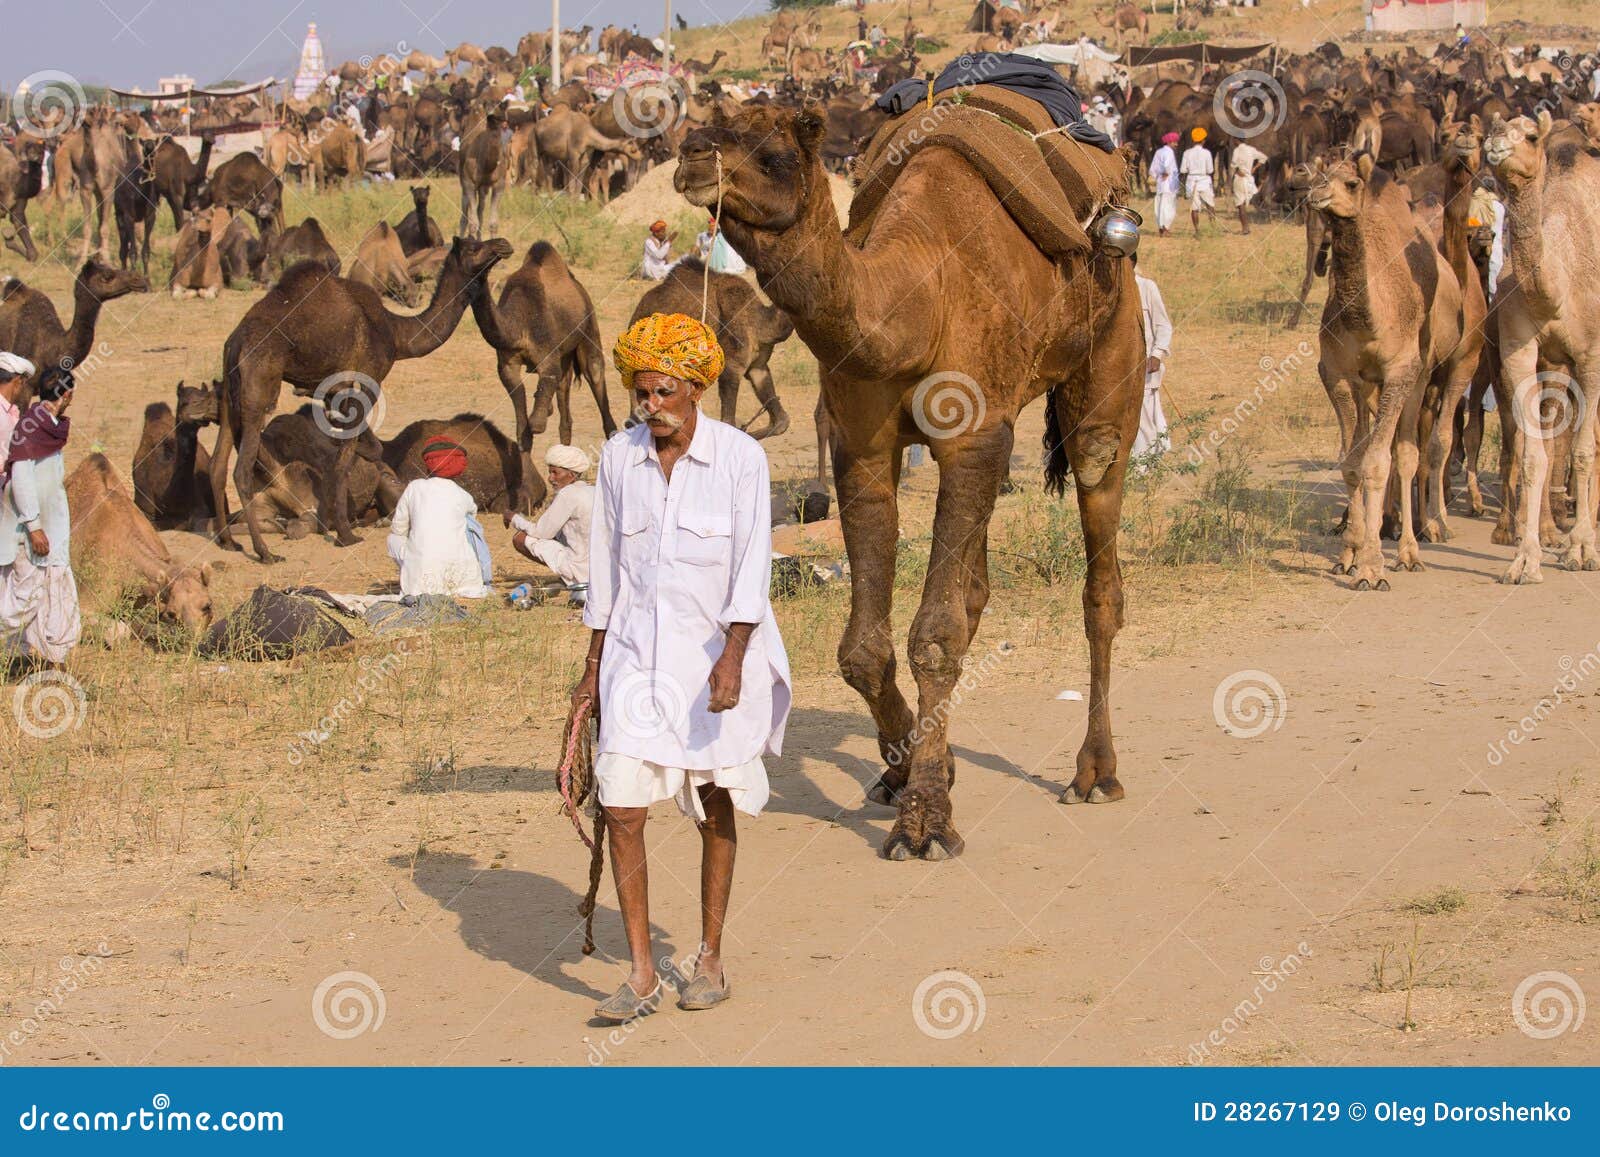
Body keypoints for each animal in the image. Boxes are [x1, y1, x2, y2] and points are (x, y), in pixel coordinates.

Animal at [211, 235, 513, 562]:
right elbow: (344, 460)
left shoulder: (335, 386)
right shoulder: (370, 377)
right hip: (259, 384)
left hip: (229, 392)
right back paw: (265, 552)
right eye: (473, 247)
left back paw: (228, 541)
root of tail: (236, 341)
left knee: (217, 463)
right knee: (241, 469)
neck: (396, 332)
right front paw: (345, 534)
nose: (502, 244)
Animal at [458, 108, 506, 238]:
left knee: (480, 210)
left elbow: (493, 224)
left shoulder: (499, 184)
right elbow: (472, 223)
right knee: (465, 215)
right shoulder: (469, 183)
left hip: (483, 188)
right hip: (463, 181)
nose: (493, 117)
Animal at [469, 240, 616, 511]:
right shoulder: (507, 365)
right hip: (566, 357)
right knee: (564, 410)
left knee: (596, 379)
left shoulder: (548, 358)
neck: (518, 324)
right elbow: (523, 428)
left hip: (588, 333)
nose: (502, 246)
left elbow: (536, 422)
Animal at [676, 103, 1145, 859]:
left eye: (776, 151)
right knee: (976, 590)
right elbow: (865, 648)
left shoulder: (975, 435)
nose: (690, 153)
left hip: (1113, 337)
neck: (921, 294)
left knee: (1100, 521)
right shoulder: (862, 446)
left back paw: (1096, 771)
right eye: (707, 122)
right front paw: (911, 770)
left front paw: (925, 821)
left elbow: (934, 637)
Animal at [1309, 154, 1477, 589]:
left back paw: (1410, 551)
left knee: (1407, 453)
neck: (1368, 321)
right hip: (1373, 386)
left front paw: (1371, 568)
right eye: (1317, 176)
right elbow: (1351, 461)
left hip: (1421, 375)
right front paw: (1348, 553)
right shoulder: (1335, 373)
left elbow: (1378, 462)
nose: (1317, 193)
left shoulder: (1401, 370)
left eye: (1350, 183)